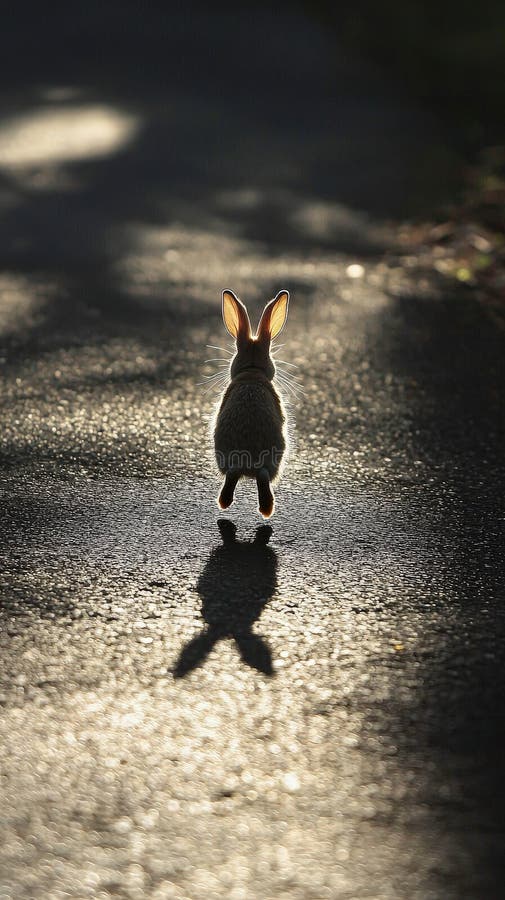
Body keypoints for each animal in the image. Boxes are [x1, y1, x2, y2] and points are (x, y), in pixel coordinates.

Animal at [213, 288, 290, 518]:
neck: (252, 371)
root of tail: (247, 460)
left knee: (234, 475)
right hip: (275, 459)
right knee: (263, 476)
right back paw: (266, 510)